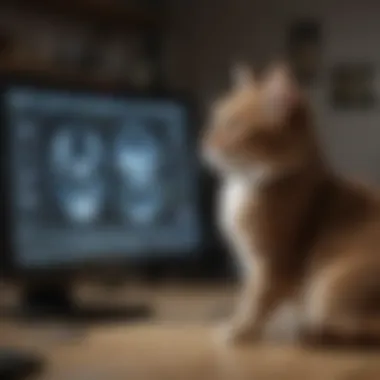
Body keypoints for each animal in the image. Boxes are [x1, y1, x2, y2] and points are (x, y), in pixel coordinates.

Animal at [203, 63, 380, 346]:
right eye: (215, 121)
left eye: (234, 125)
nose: (206, 143)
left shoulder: (272, 266)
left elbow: (255, 302)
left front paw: (240, 329)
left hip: (328, 285)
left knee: (362, 328)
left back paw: (314, 331)